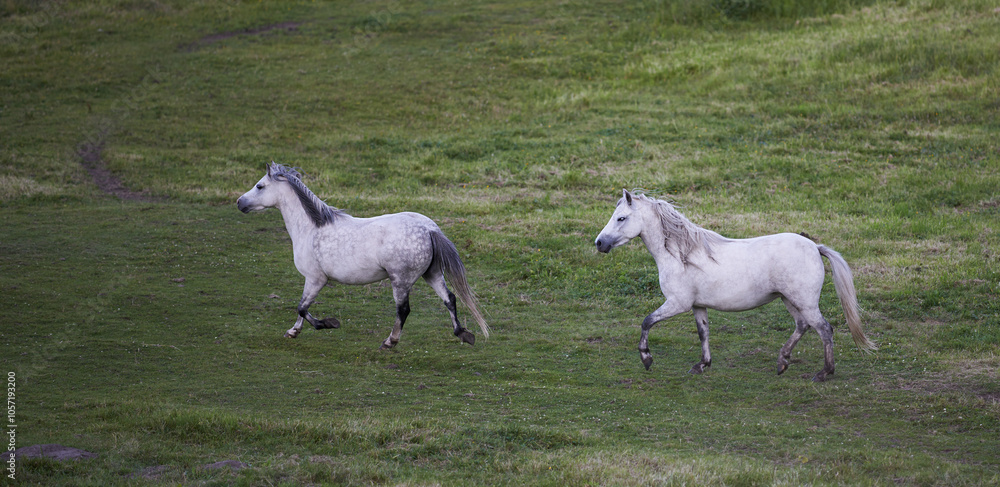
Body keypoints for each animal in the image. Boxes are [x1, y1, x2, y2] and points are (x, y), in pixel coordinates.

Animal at [237, 162, 488, 349]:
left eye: (259, 186)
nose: (239, 203)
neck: (311, 228)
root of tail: (429, 229)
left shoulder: (316, 279)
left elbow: (302, 307)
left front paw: (328, 324)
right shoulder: (313, 280)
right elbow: (301, 308)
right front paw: (293, 331)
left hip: (401, 281)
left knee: (404, 310)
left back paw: (390, 342)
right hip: (432, 274)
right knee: (450, 299)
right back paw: (464, 334)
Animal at [594, 190, 876, 381]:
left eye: (621, 218)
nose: (599, 243)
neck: (681, 255)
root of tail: (815, 247)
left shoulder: (677, 303)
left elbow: (647, 322)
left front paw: (647, 358)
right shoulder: (697, 306)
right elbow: (703, 333)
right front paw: (702, 365)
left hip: (803, 301)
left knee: (824, 329)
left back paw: (824, 372)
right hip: (789, 300)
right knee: (803, 326)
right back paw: (782, 362)